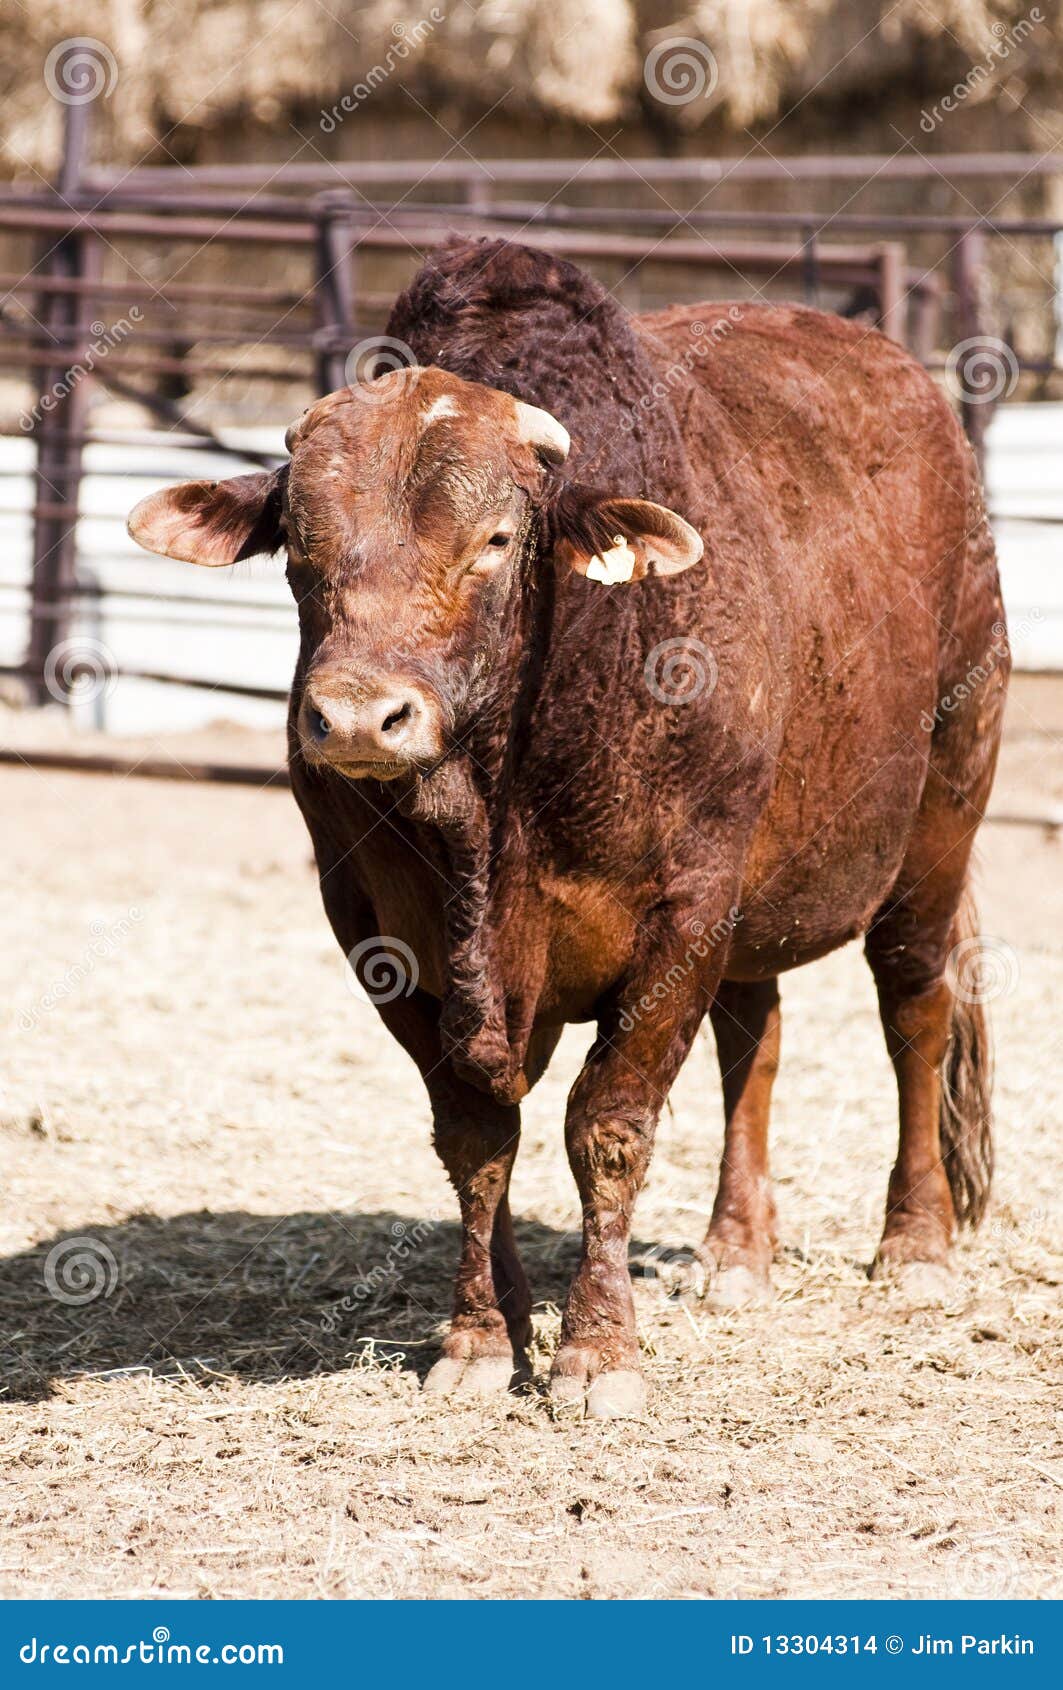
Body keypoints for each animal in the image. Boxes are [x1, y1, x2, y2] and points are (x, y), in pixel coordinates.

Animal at [129, 237, 1008, 1419]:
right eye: (298, 549)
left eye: (499, 539)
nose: (357, 716)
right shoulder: (380, 933)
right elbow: (476, 1133)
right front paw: (481, 1333)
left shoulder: (681, 911)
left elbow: (608, 1126)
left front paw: (596, 1351)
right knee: (754, 1038)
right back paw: (737, 1249)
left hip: (936, 819)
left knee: (912, 1012)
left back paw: (912, 1247)